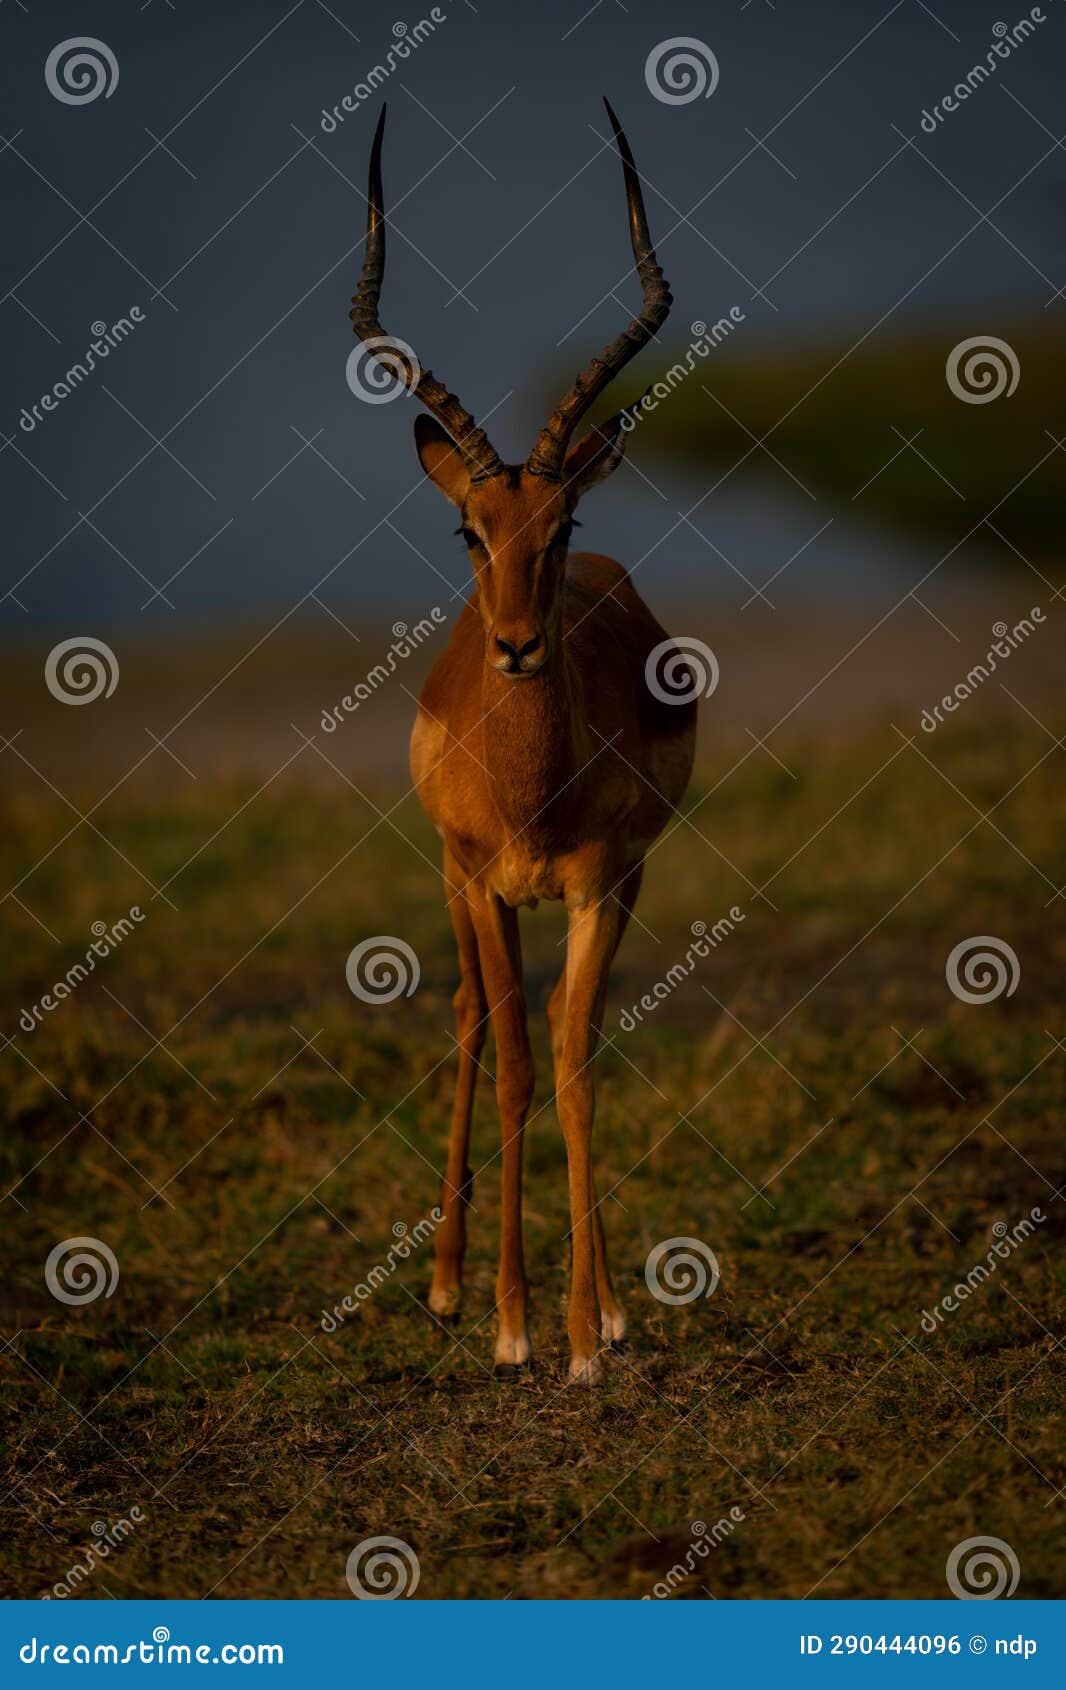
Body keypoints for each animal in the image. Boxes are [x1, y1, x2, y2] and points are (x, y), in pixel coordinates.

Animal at [350, 100, 696, 1385]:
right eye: (469, 527)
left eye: (562, 518)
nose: (512, 646)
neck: (532, 791)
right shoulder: (487, 883)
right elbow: (508, 1066)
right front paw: (509, 1324)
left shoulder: (600, 883)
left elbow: (574, 1059)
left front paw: (591, 1333)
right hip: (452, 883)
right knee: (465, 1017)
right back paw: (449, 1287)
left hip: (627, 881)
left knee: (564, 1034)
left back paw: (598, 1306)